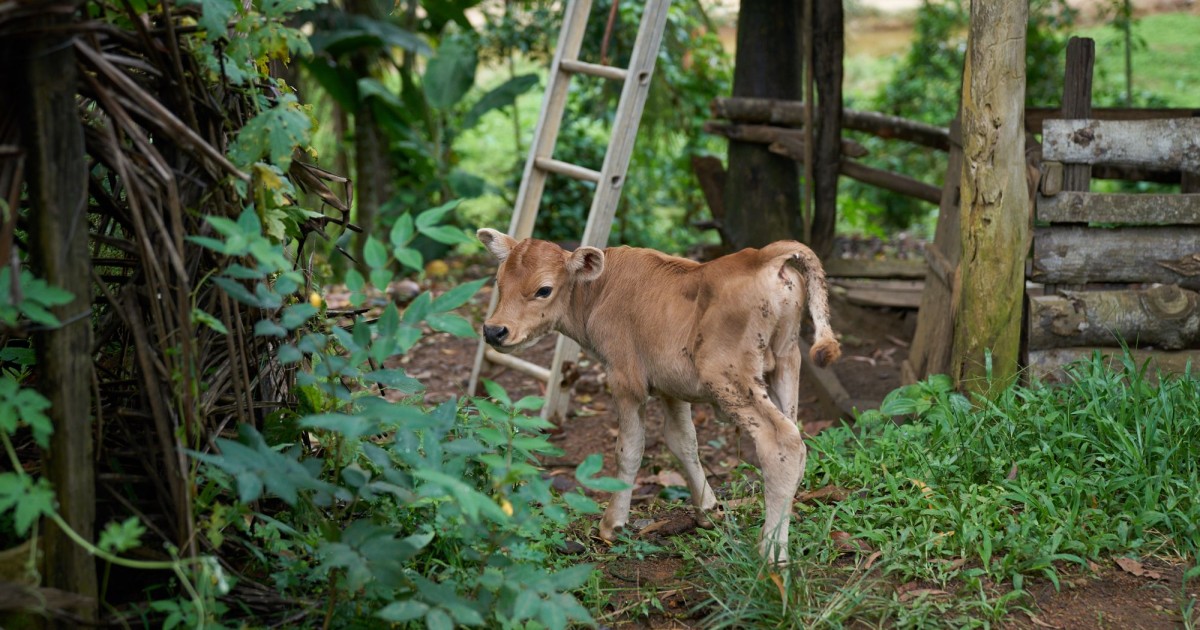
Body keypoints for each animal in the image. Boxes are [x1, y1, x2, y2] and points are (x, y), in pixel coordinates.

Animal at [476, 228, 841, 563]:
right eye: (499, 282)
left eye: (544, 290)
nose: (494, 331)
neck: (598, 291)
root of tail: (763, 255)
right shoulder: (671, 388)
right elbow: (683, 442)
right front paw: (708, 509)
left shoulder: (625, 380)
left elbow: (629, 449)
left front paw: (613, 523)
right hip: (786, 363)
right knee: (796, 441)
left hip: (730, 378)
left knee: (781, 443)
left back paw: (772, 553)